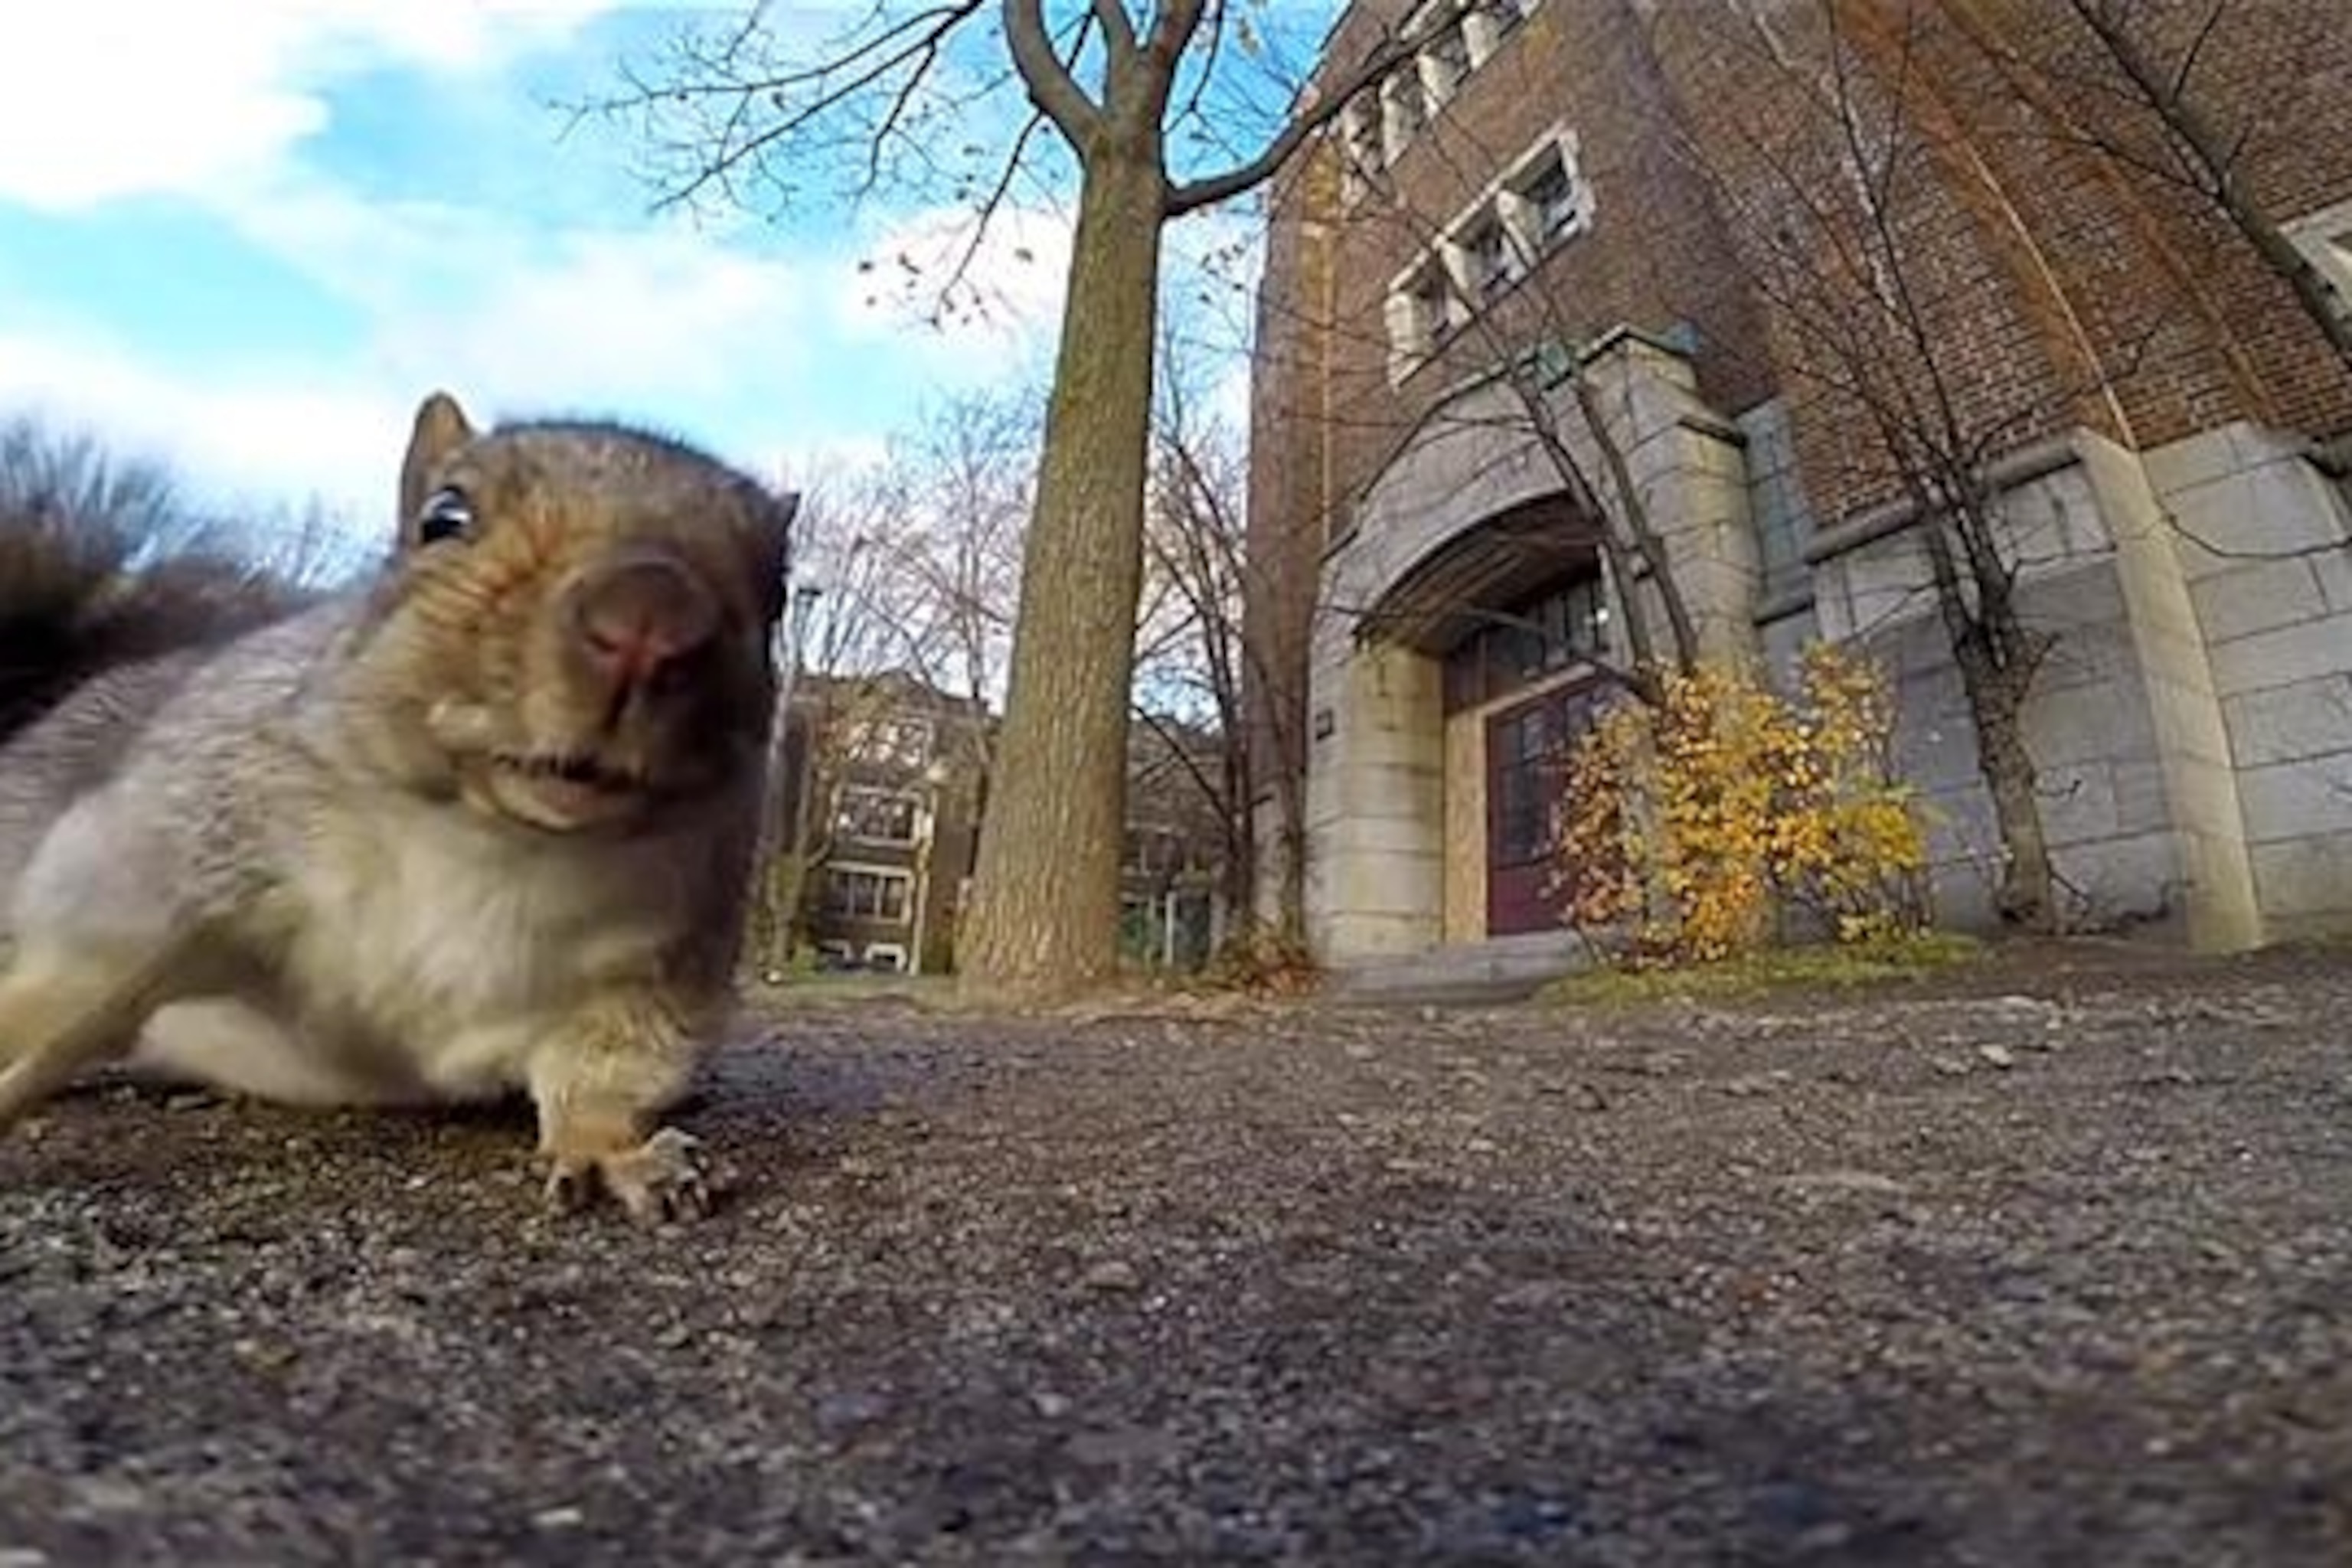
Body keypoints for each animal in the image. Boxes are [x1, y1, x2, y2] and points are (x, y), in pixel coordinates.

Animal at [0, 391, 795, 1224]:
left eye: (778, 590)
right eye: (444, 517)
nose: (649, 618)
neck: (503, 846)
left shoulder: (649, 979)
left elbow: (607, 1077)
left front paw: (620, 1152)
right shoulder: (182, 886)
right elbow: (80, 1007)